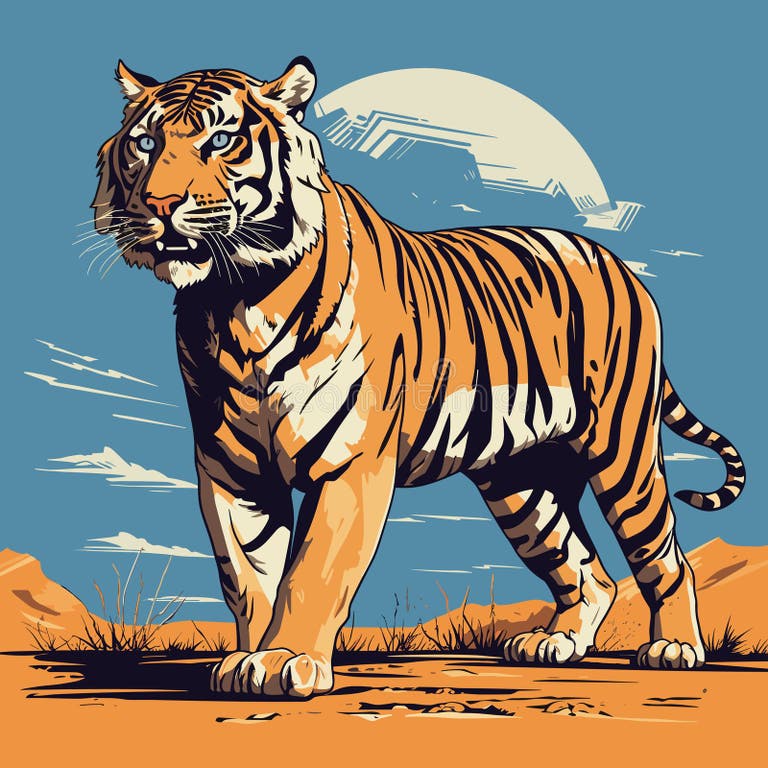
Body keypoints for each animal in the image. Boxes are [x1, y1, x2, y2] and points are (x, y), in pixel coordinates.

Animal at [92, 57, 745, 697]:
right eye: (145, 143)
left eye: (222, 141)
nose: (159, 205)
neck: (234, 301)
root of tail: (621, 266)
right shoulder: (230, 468)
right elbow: (250, 576)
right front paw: (247, 659)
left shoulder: (350, 462)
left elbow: (311, 570)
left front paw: (286, 660)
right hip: (520, 480)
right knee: (587, 570)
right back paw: (554, 644)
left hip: (621, 450)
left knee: (665, 556)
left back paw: (675, 649)